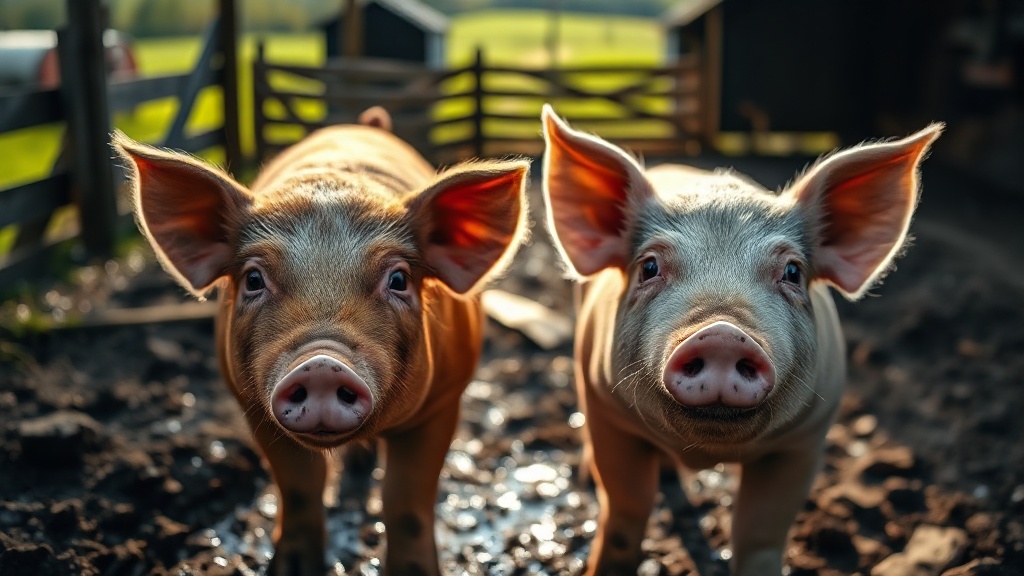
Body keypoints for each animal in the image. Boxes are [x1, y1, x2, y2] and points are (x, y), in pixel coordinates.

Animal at [113, 107, 529, 576]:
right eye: (253, 279)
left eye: (399, 279)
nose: (322, 365)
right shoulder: (253, 408)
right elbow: (298, 489)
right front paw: (292, 568)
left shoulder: (443, 403)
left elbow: (405, 503)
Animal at [540, 104, 941, 576]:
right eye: (649, 266)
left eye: (792, 272)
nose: (722, 333)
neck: (704, 451)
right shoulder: (608, 411)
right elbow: (625, 508)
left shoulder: (804, 439)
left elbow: (759, 533)